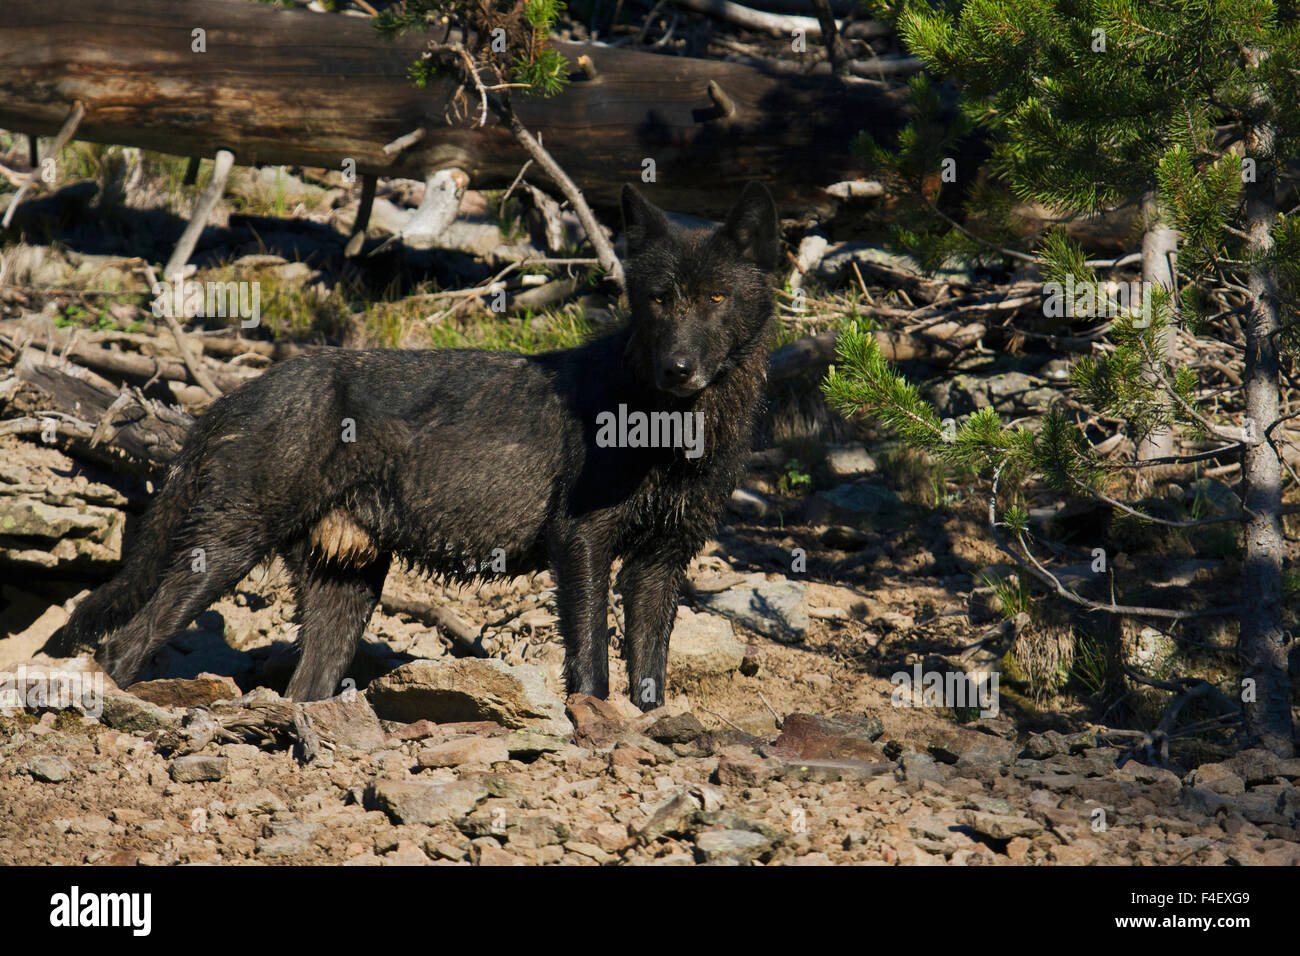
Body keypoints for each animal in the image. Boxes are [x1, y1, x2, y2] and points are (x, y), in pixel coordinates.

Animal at [44, 181, 780, 710]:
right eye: (658, 300)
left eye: (716, 298)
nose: (678, 369)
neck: (671, 431)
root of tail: (231, 396)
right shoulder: (583, 543)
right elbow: (592, 663)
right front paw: (594, 725)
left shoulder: (663, 559)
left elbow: (651, 670)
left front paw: (651, 729)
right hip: (223, 555)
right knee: (123, 646)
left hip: (349, 586)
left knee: (303, 689)